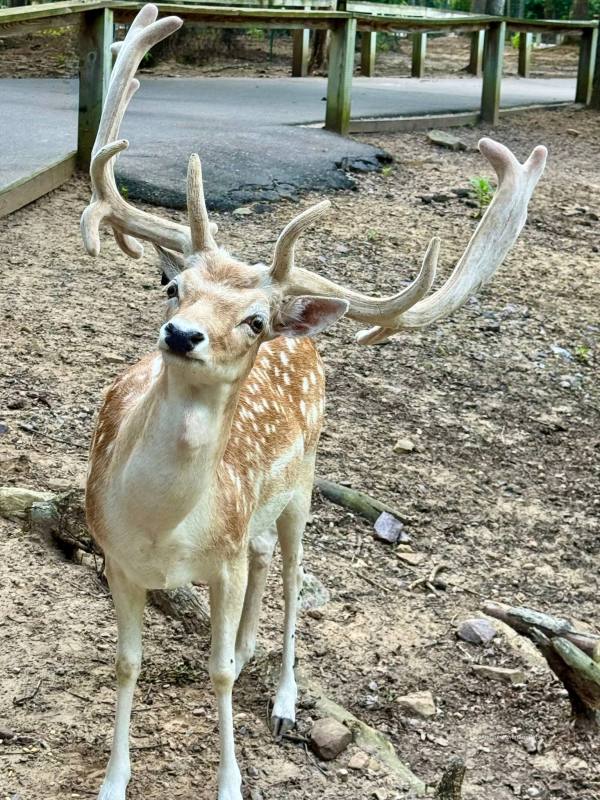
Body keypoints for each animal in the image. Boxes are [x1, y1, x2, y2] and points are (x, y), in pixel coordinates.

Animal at [80, 5, 547, 800]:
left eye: (252, 321)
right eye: (174, 287)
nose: (181, 334)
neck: (163, 531)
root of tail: (308, 336)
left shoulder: (222, 558)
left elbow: (218, 674)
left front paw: (231, 780)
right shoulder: (115, 557)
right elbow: (126, 663)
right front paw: (114, 782)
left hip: (304, 483)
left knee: (295, 572)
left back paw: (285, 697)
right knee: (268, 558)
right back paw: (253, 648)